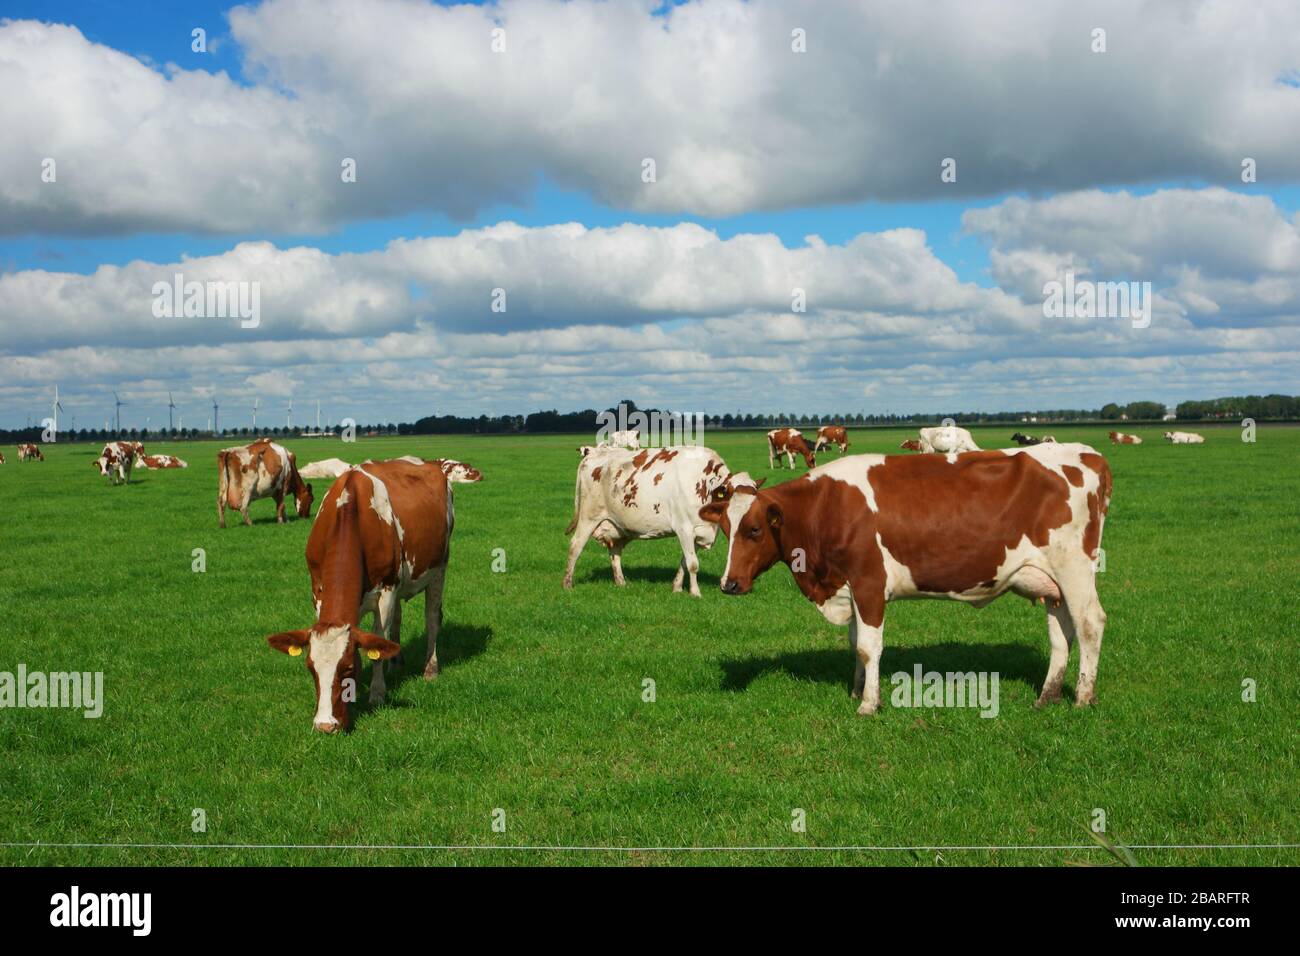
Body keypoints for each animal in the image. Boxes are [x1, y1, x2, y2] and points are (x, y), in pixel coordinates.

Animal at [263, 457, 477, 732]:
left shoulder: (386, 590)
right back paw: (396, 662)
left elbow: (377, 636)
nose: (325, 725)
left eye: (347, 669)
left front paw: (376, 692)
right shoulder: (318, 592)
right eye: (310, 668)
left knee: (431, 619)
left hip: (439, 568)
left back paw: (430, 668)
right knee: (398, 620)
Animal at [564, 445, 737, 597]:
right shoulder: (684, 528)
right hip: (589, 516)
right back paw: (567, 584)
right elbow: (693, 564)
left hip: (617, 526)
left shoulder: (699, 532)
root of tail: (593, 453)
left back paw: (621, 582)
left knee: (614, 551)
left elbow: (685, 562)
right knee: (575, 546)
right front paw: (695, 592)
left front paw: (677, 587)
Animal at [701, 444, 1112, 716]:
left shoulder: (868, 583)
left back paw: (1083, 697)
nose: (729, 584)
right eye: (725, 528)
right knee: (1061, 631)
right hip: (1051, 582)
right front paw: (858, 689)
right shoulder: (851, 588)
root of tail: (1088, 454)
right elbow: (855, 644)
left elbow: (869, 647)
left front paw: (869, 703)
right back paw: (1048, 695)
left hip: (1075, 569)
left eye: (754, 530)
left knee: (1090, 623)